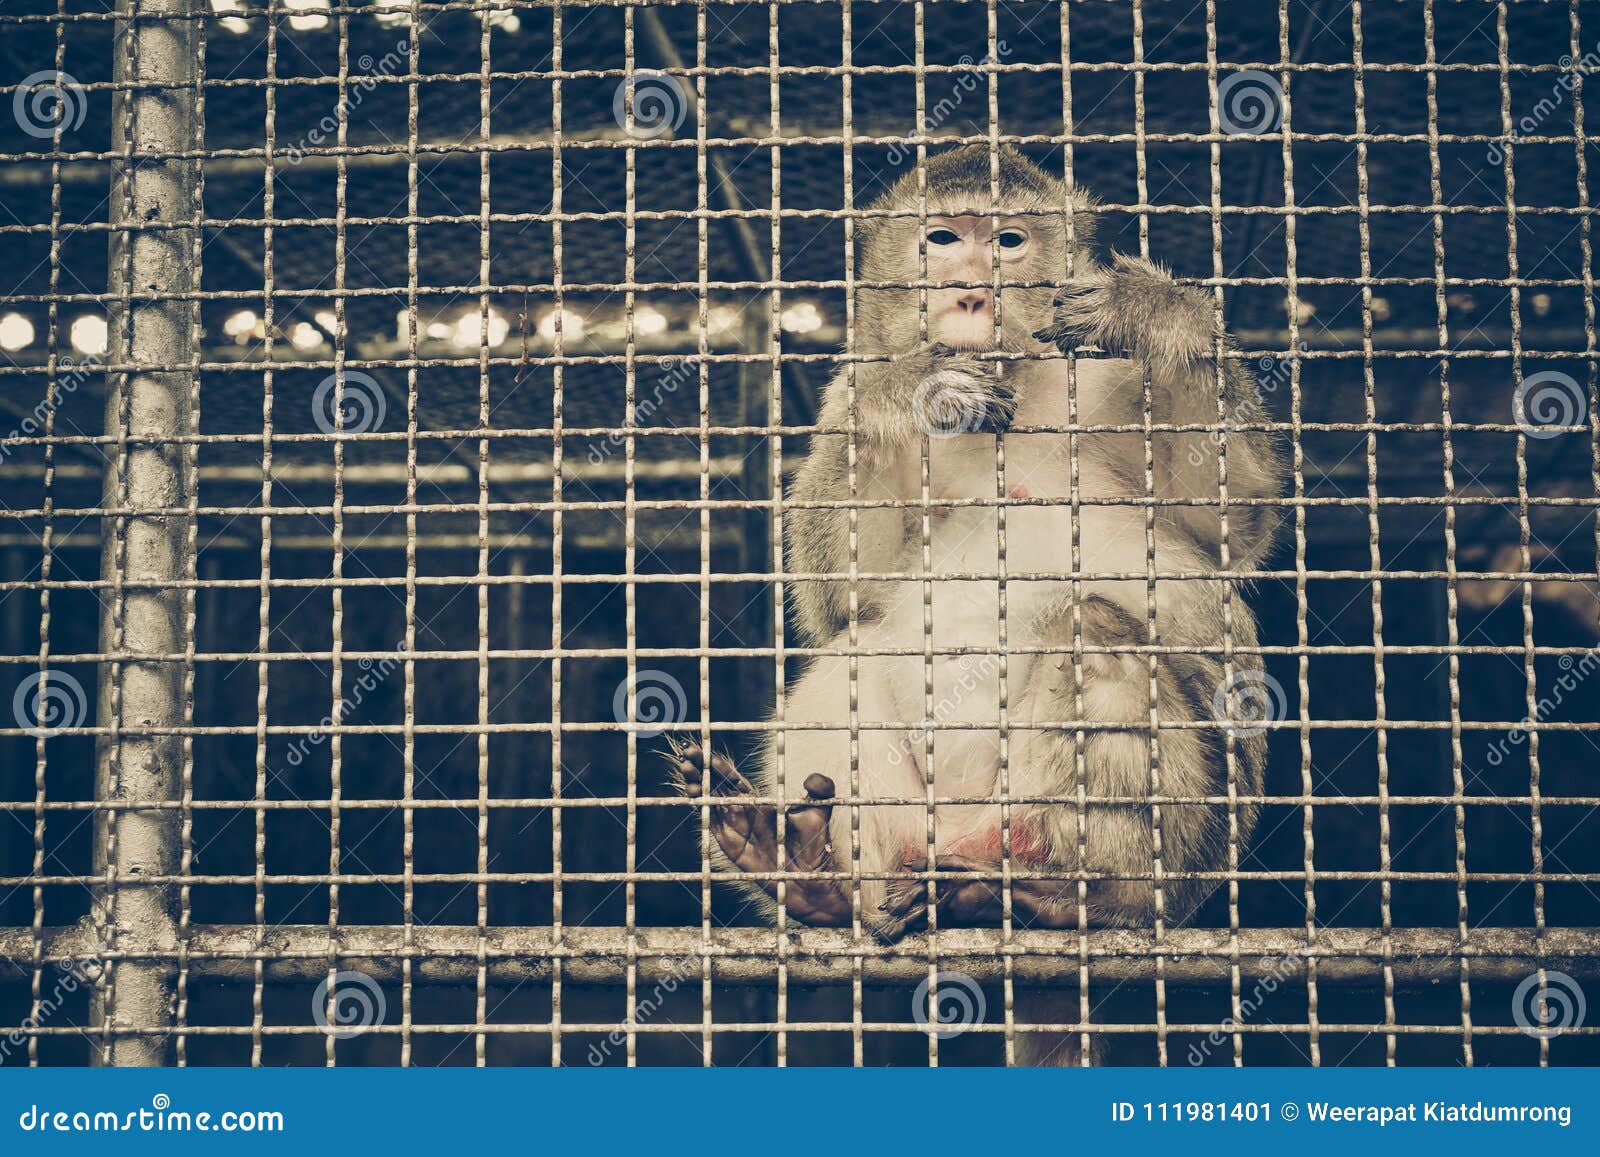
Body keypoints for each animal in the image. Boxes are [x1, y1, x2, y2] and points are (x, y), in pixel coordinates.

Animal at [670, 144, 1285, 1065]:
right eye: (942, 237)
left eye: (1007, 240)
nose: (969, 288)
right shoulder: (845, 391)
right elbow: (839, 588)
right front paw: (919, 389)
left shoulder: (1111, 375)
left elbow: (1227, 517)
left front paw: (1157, 311)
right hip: (921, 838)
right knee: (855, 658)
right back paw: (812, 873)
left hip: (1194, 846)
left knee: (1095, 634)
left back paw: (1083, 893)